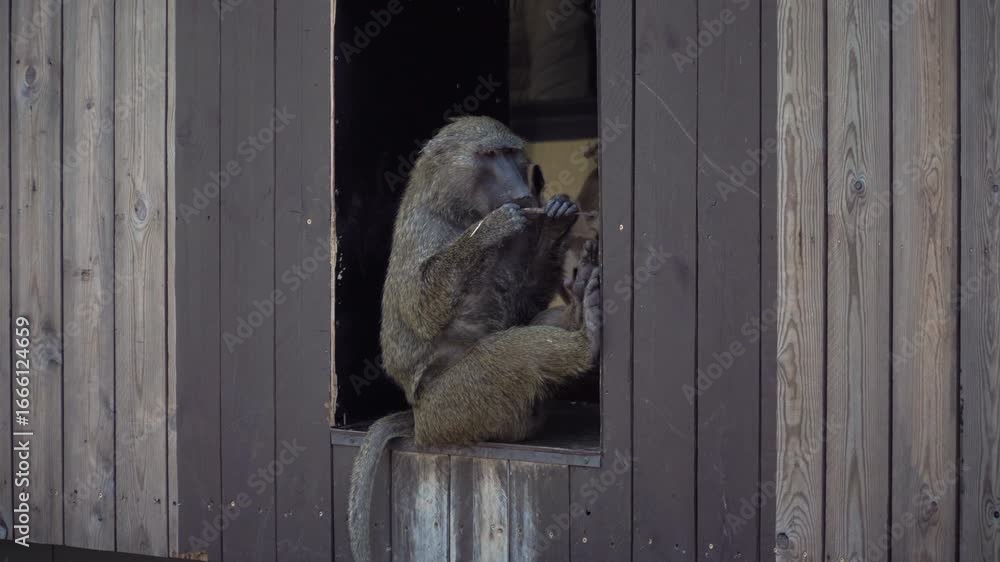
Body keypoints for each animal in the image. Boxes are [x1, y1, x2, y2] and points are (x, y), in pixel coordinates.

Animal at [349, 116, 602, 562]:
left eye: (510, 153)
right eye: (490, 155)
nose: (521, 189)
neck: (457, 207)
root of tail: (419, 419)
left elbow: (520, 305)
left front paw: (556, 220)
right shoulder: (424, 227)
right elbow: (422, 307)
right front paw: (491, 228)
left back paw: (577, 307)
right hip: (453, 409)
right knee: (509, 356)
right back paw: (587, 339)